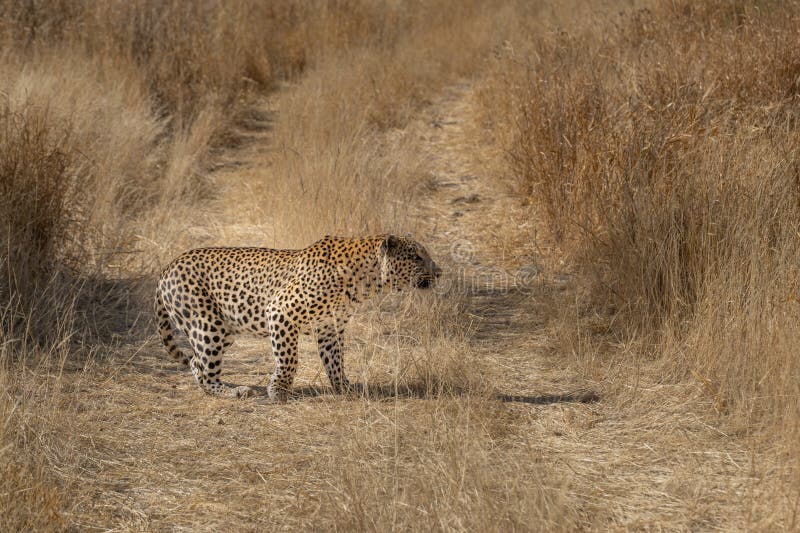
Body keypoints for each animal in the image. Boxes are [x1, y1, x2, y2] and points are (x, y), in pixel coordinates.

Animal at [154, 234, 440, 402]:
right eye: (417, 257)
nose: (439, 272)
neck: (366, 280)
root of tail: (167, 268)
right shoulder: (281, 312)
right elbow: (289, 359)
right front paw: (278, 391)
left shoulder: (329, 328)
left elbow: (335, 361)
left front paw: (343, 387)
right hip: (207, 326)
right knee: (204, 365)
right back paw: (231, 391)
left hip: (223, 330)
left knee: (196, 363)